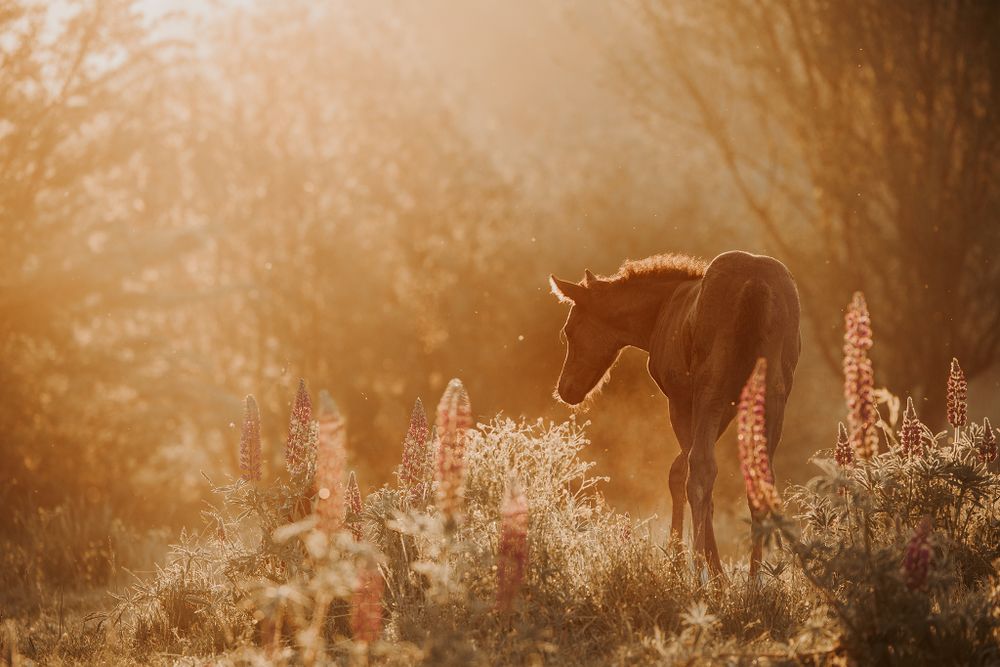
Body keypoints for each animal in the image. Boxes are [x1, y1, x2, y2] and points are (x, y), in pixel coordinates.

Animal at [549, 251, 800, 577]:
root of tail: (756, 285)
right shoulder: (730, 407)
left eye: (569, 330)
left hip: (711, 387)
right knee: (760, 476)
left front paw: (684, 563)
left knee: (702, 468)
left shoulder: (681, 399)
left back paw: (701, 571)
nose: (566, 389)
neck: (659, 311)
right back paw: (755, 579)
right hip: (772, 398)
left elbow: (680, 471)